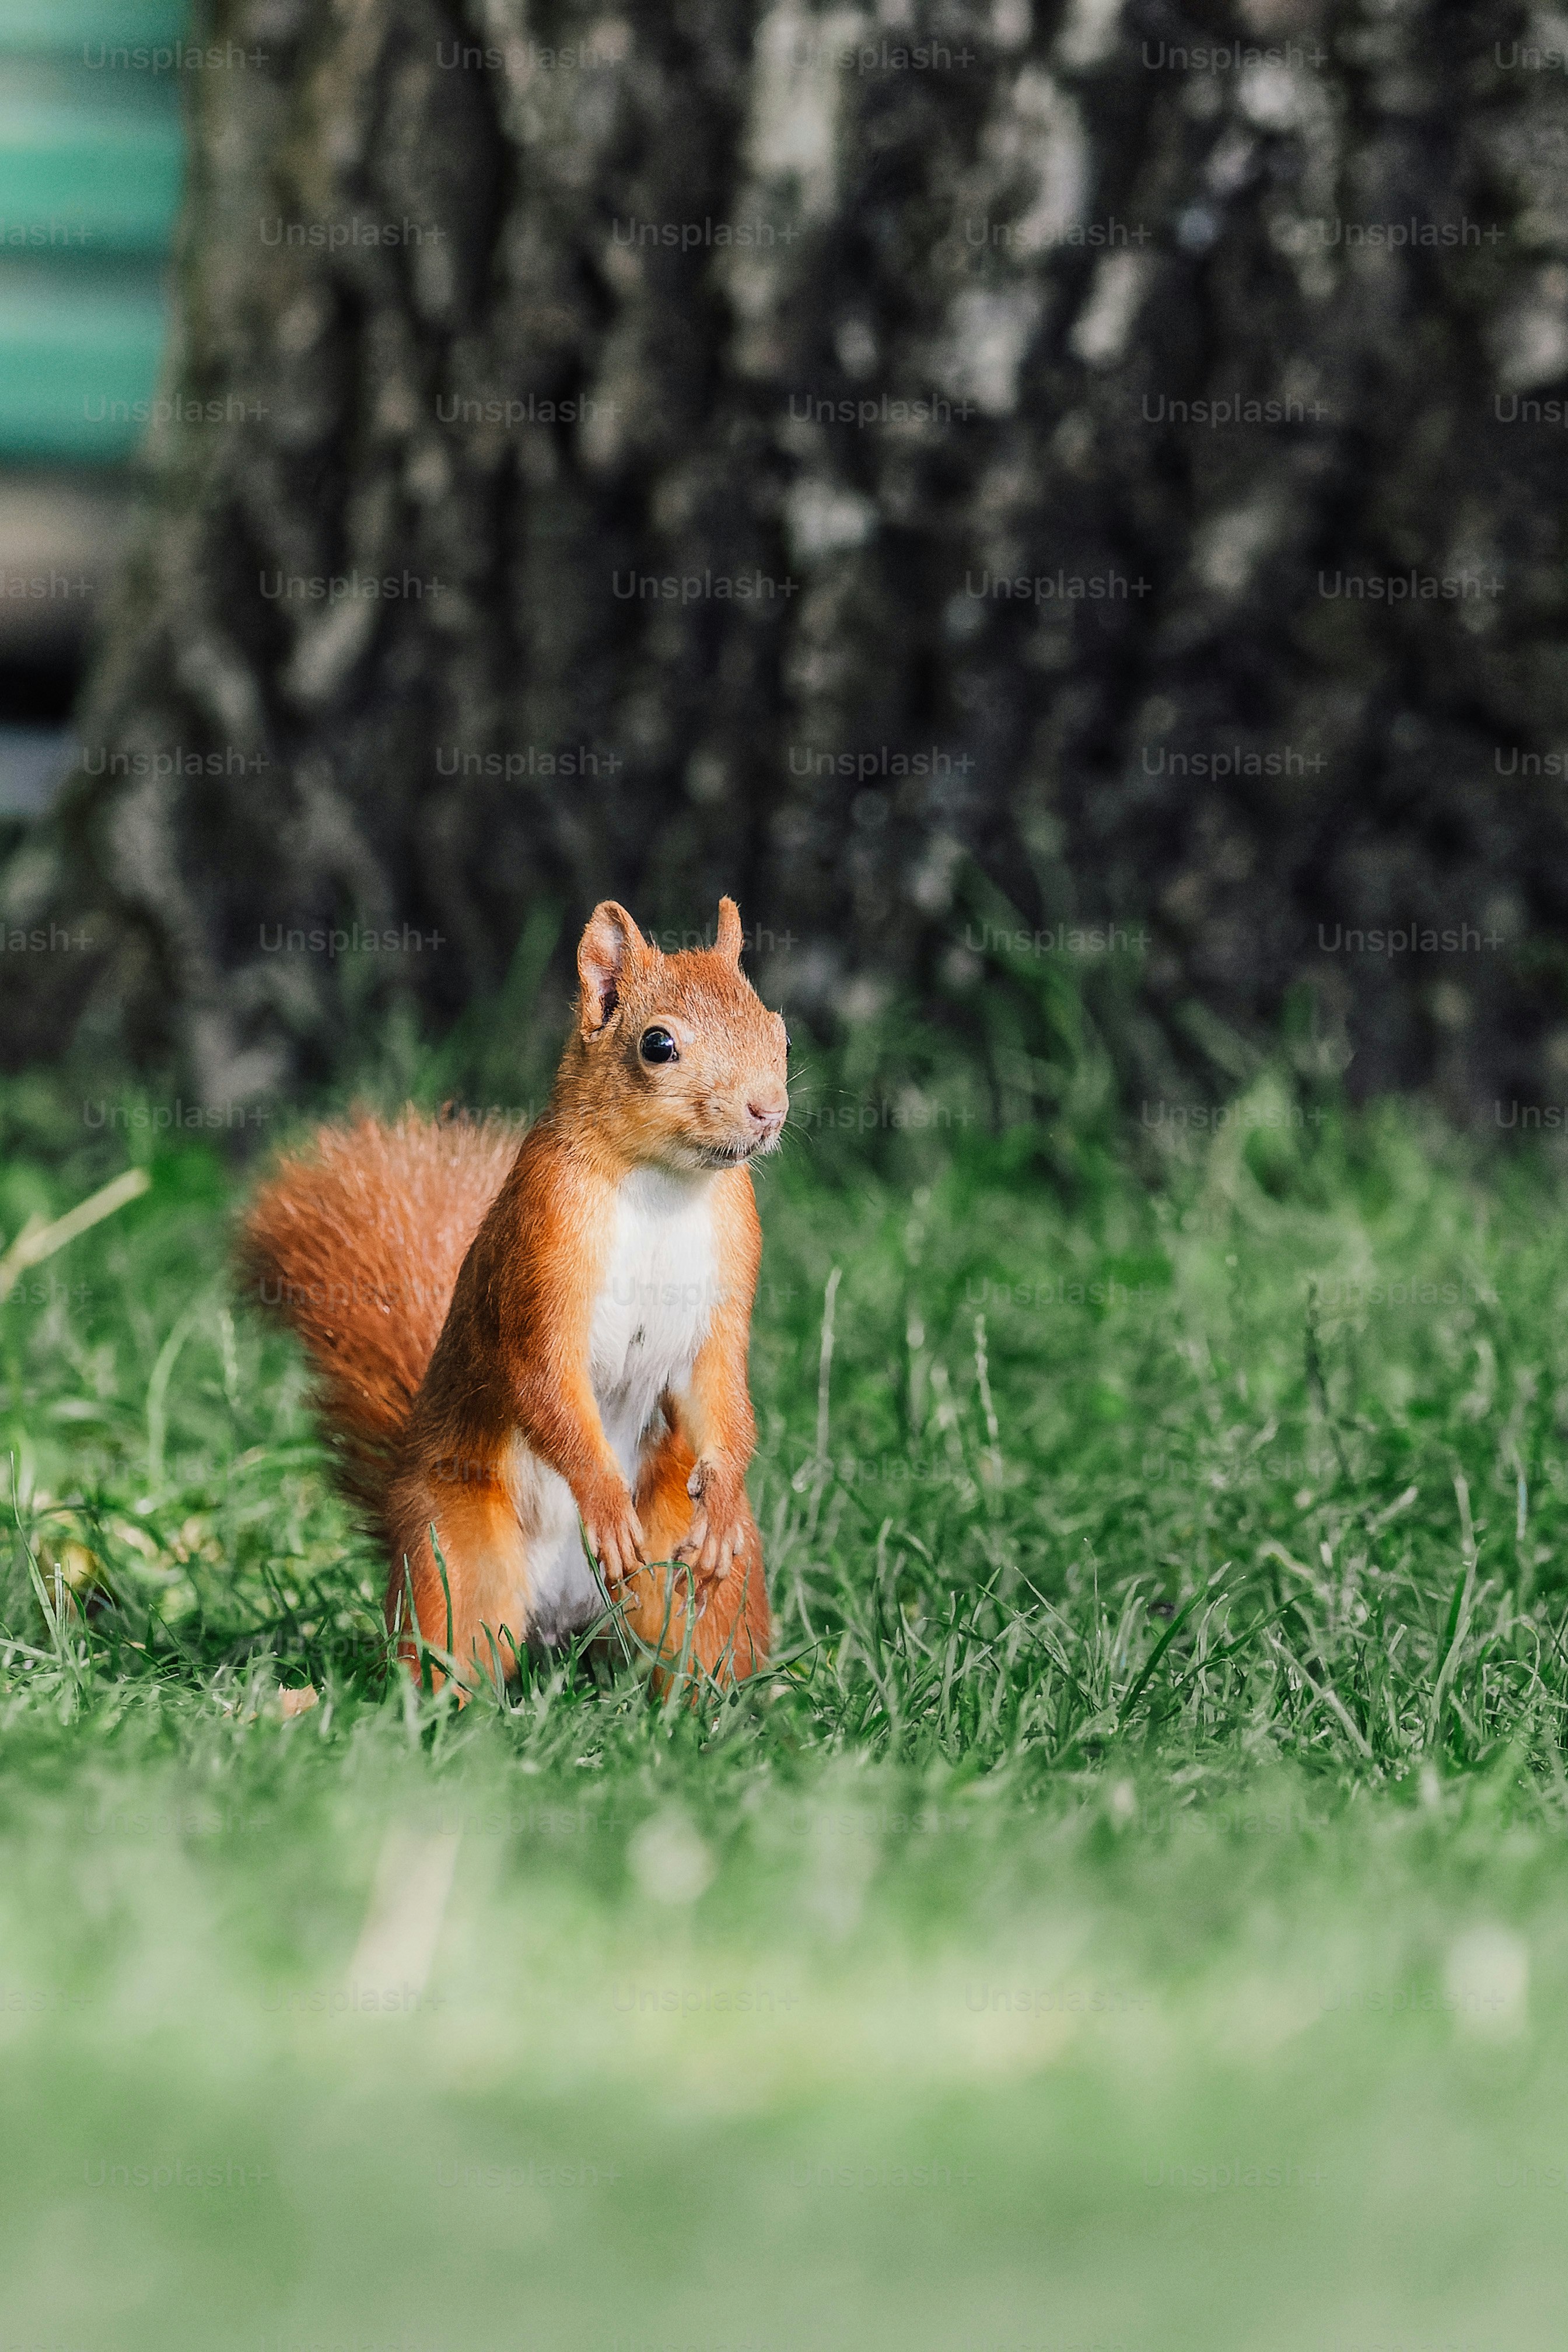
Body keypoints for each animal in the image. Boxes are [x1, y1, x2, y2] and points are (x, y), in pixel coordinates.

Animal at [240, 897, 788, 1692]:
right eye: (657, 1045)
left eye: (778, 1029)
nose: (767, 1109)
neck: (665, 1183)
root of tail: (566, 1618)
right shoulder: (540, 1251)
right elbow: (542, 1378)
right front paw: (602, 1500)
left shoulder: (728, 1280)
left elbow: (721, 1392)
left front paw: (716, 1505)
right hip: (458, 1557)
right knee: (450, 1655)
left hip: (692, 1580)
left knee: (700, 1648)